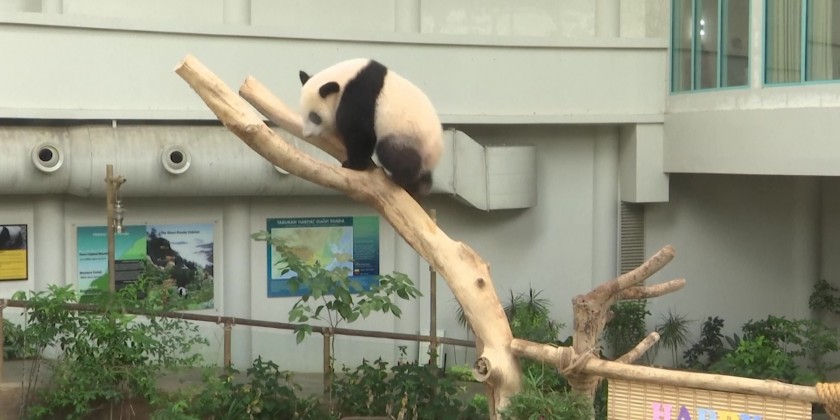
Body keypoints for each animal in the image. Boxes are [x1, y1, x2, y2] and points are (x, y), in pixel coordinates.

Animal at [298, 58, 443, 198]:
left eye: (314, 117)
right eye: (303, 114)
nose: (307, 134)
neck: (343, 79)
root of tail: (434, 155)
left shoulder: (358, 97)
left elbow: (360, 134)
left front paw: (353, 165)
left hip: (407, 135)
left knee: (394, 153)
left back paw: (402, 180)